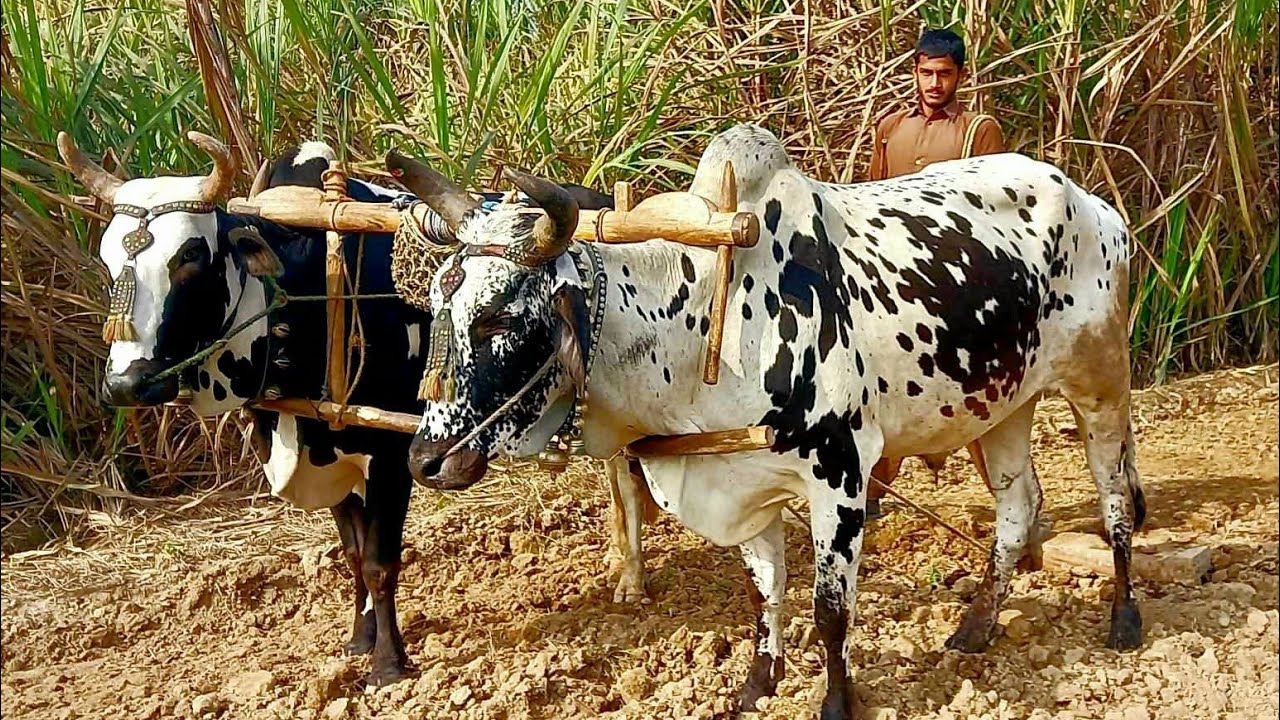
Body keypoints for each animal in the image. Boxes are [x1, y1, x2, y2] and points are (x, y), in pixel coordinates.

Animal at [58, 131, 622, 685]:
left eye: (190, 256)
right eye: (108, 261)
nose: (126, 383)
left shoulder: (394, 455)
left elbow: (378, 561)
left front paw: (388, 665)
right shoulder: (331, 448)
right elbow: (351, 555)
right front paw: (359, 641)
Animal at [392, 122, 1146, 718]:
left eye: (497, 318)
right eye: (437, 305)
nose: (426, 461)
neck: (703, 324)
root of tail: (1093, 204)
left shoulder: (840, 475)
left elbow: (830, 612)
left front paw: (837, 703)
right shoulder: (740, 483)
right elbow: (766, 594)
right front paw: (758, 685)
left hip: (1100, 383)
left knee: (1114, 499)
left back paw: (1124, 618)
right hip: (1004, 404)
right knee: (1019, 507)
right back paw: (977, 627)